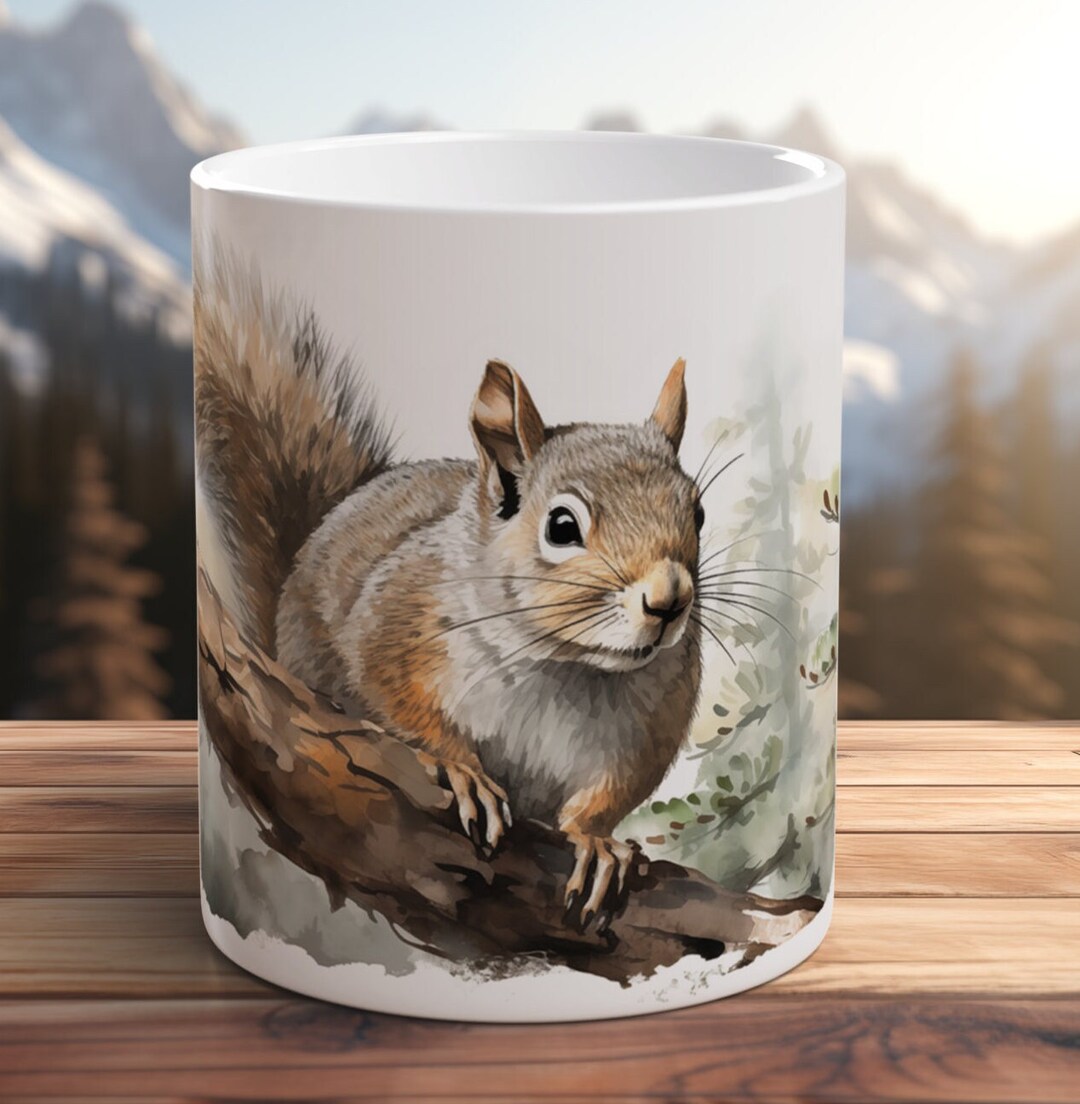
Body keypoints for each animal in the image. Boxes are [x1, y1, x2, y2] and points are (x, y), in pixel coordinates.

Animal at [195, 264, 704, 931]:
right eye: (562, 526)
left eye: (698, 512)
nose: (670, 599)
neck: (566, 664)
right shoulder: (394, 621)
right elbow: (393, 696)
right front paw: (463, 771)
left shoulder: (655, 720)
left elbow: (609, 793)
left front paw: (594, 842)